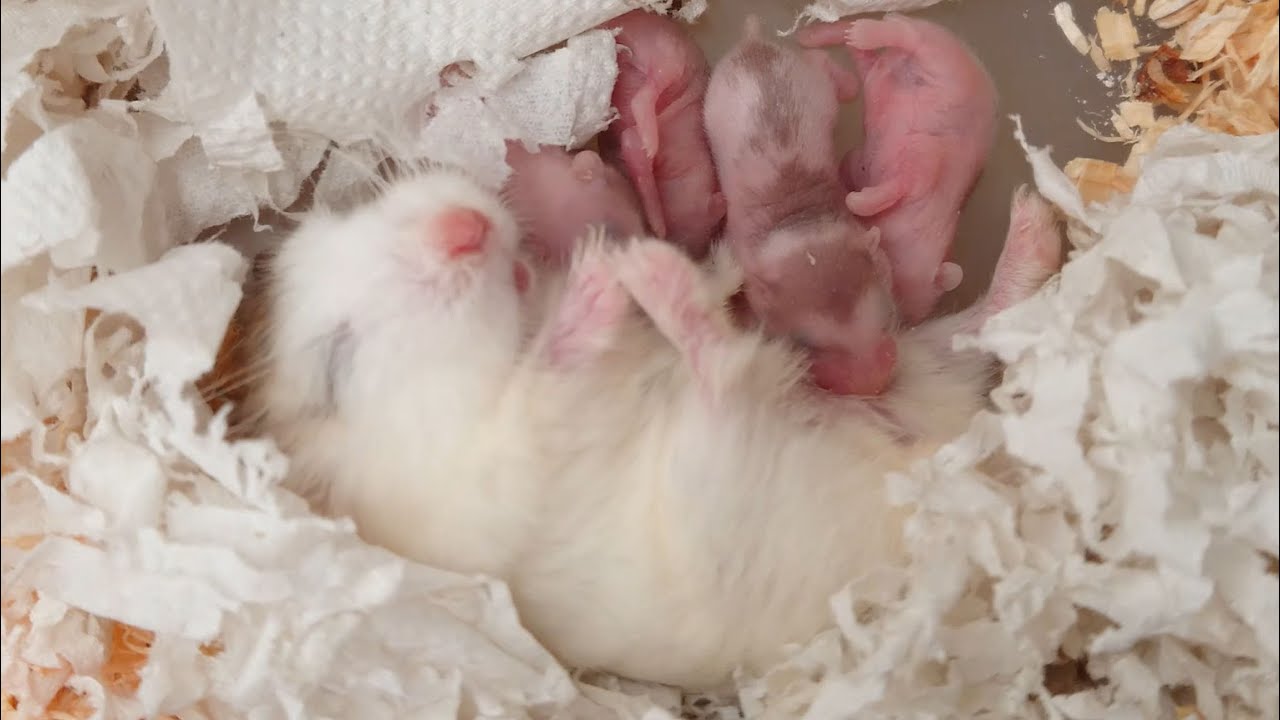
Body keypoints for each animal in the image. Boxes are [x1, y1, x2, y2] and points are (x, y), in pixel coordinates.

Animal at [597, 9, 725, 259]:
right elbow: (634, 146)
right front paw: (658, 224)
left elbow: (629, 146)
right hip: (672, 58)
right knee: (647, 93)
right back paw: (648, 131)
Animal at [703, 15, 898, 397]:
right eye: (803, 343)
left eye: (887, 315)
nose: (875, 384)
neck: (800, 225)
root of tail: (755, 43)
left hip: (812, 83)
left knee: (821, 65)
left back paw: (849, 83)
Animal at [796, 14, 999, 325]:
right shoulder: (922, 170)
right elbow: (883, 193)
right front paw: (855, 201)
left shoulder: (864, 162)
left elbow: (853, 164)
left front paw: (848, 191)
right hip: (937, 55)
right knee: (905, 33)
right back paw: (865, 31)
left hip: (878, 71)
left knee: (864, 59)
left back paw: (815, 35)